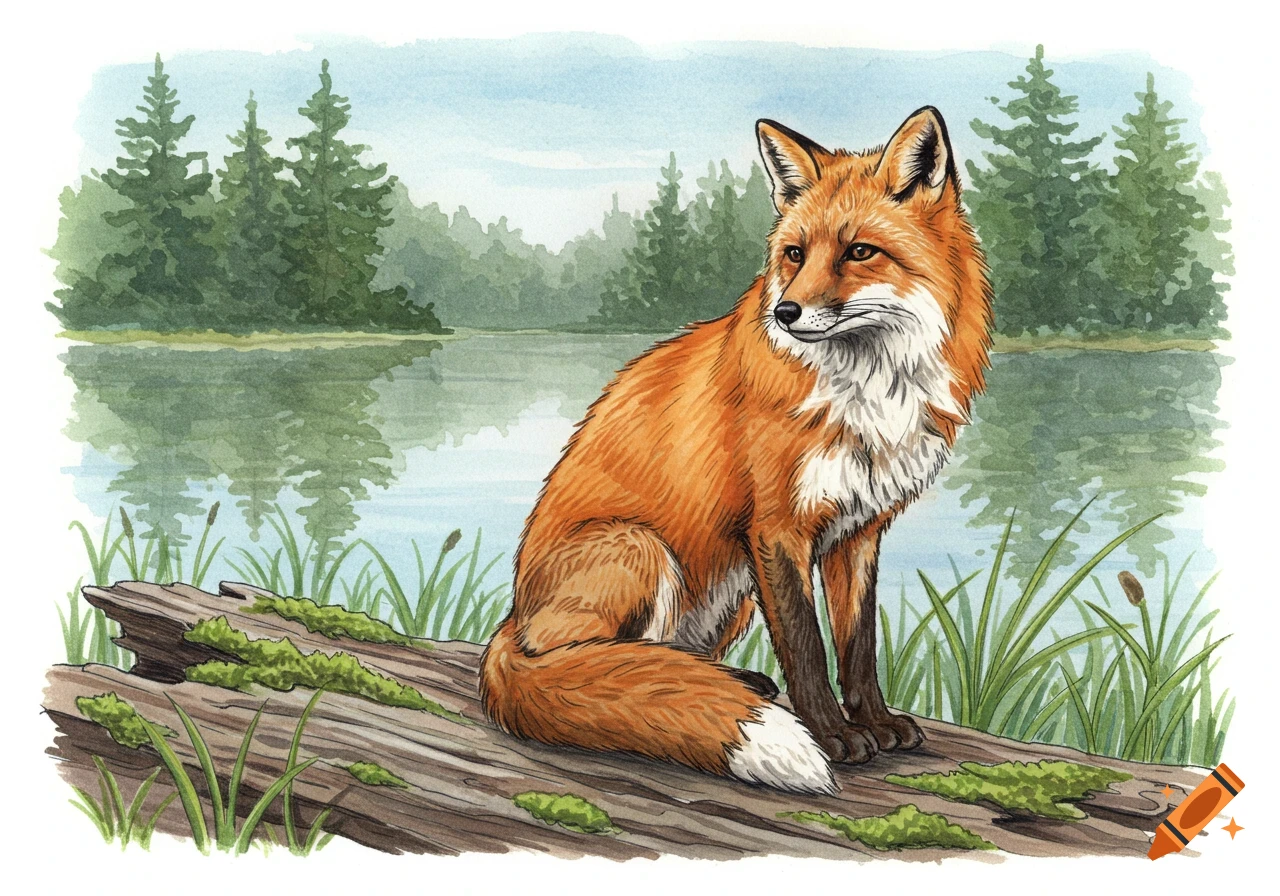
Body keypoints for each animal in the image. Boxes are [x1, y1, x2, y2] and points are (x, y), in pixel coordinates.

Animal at [480, 107, 993, 794]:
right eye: (795, 254)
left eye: (859, 251)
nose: (786, 312)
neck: (870, 394)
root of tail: (511, 623)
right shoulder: (776, 529)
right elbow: (806, 646)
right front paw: (831, 736)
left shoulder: (859, 531)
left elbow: (857, 647)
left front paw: (876, 722)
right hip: (642, 549)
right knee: (586, 661)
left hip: (732, 591)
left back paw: (732, 683)